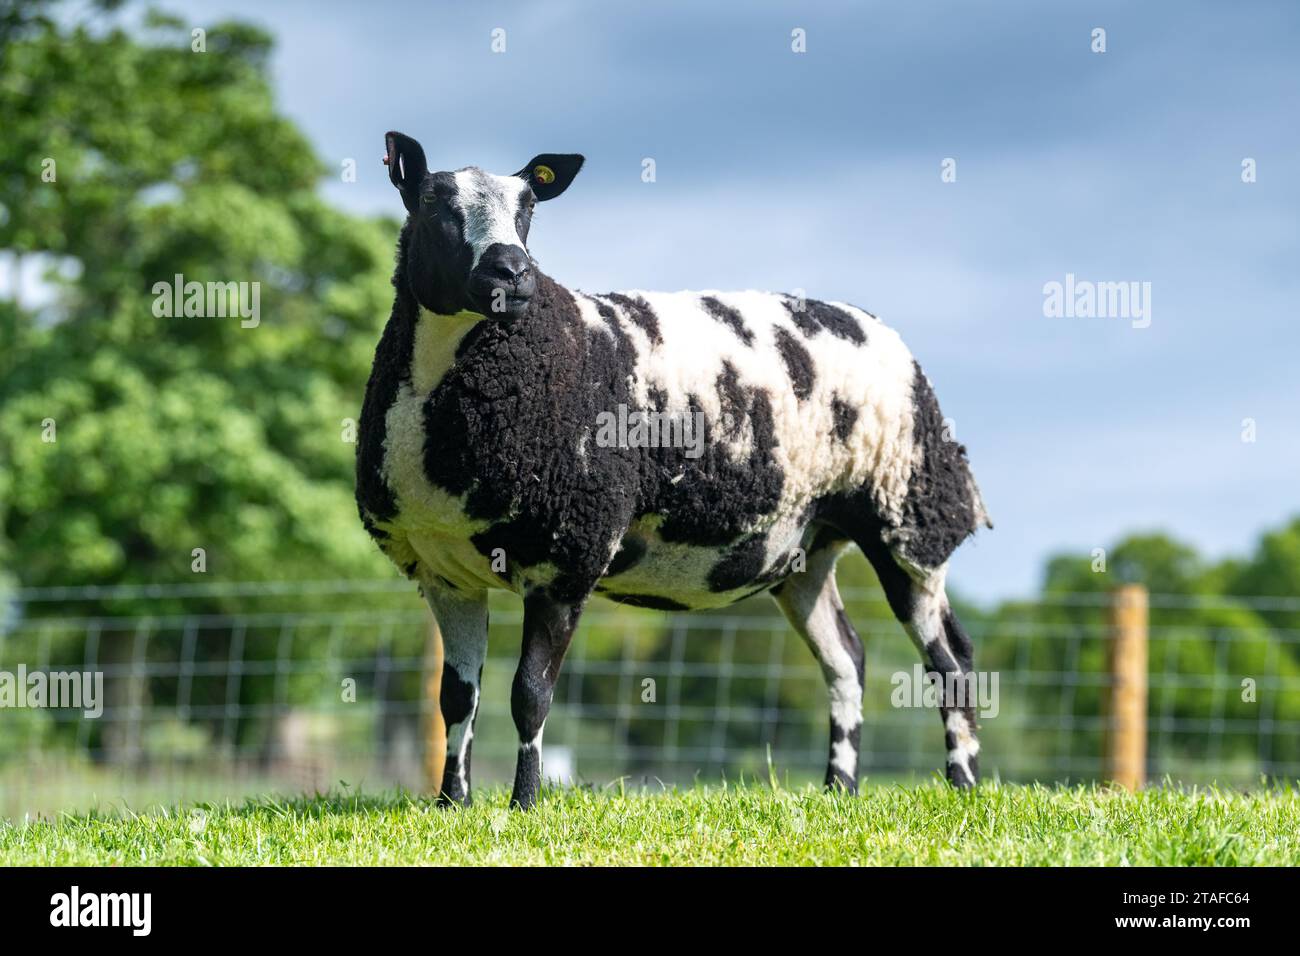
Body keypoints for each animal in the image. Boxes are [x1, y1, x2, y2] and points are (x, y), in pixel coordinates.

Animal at [355, 131, 992, 810]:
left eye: (529, 209)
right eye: (433, 205)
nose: (513, 273)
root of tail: (875, 327)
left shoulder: (570, 554)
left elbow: (530, 695)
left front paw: (524, 804)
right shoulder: (446, 573)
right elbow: (457, 699)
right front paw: (452, 804)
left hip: (905, 517)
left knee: (952, 658)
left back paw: (962, 783)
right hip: (805, 548)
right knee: (847, 659)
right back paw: (837, 790)